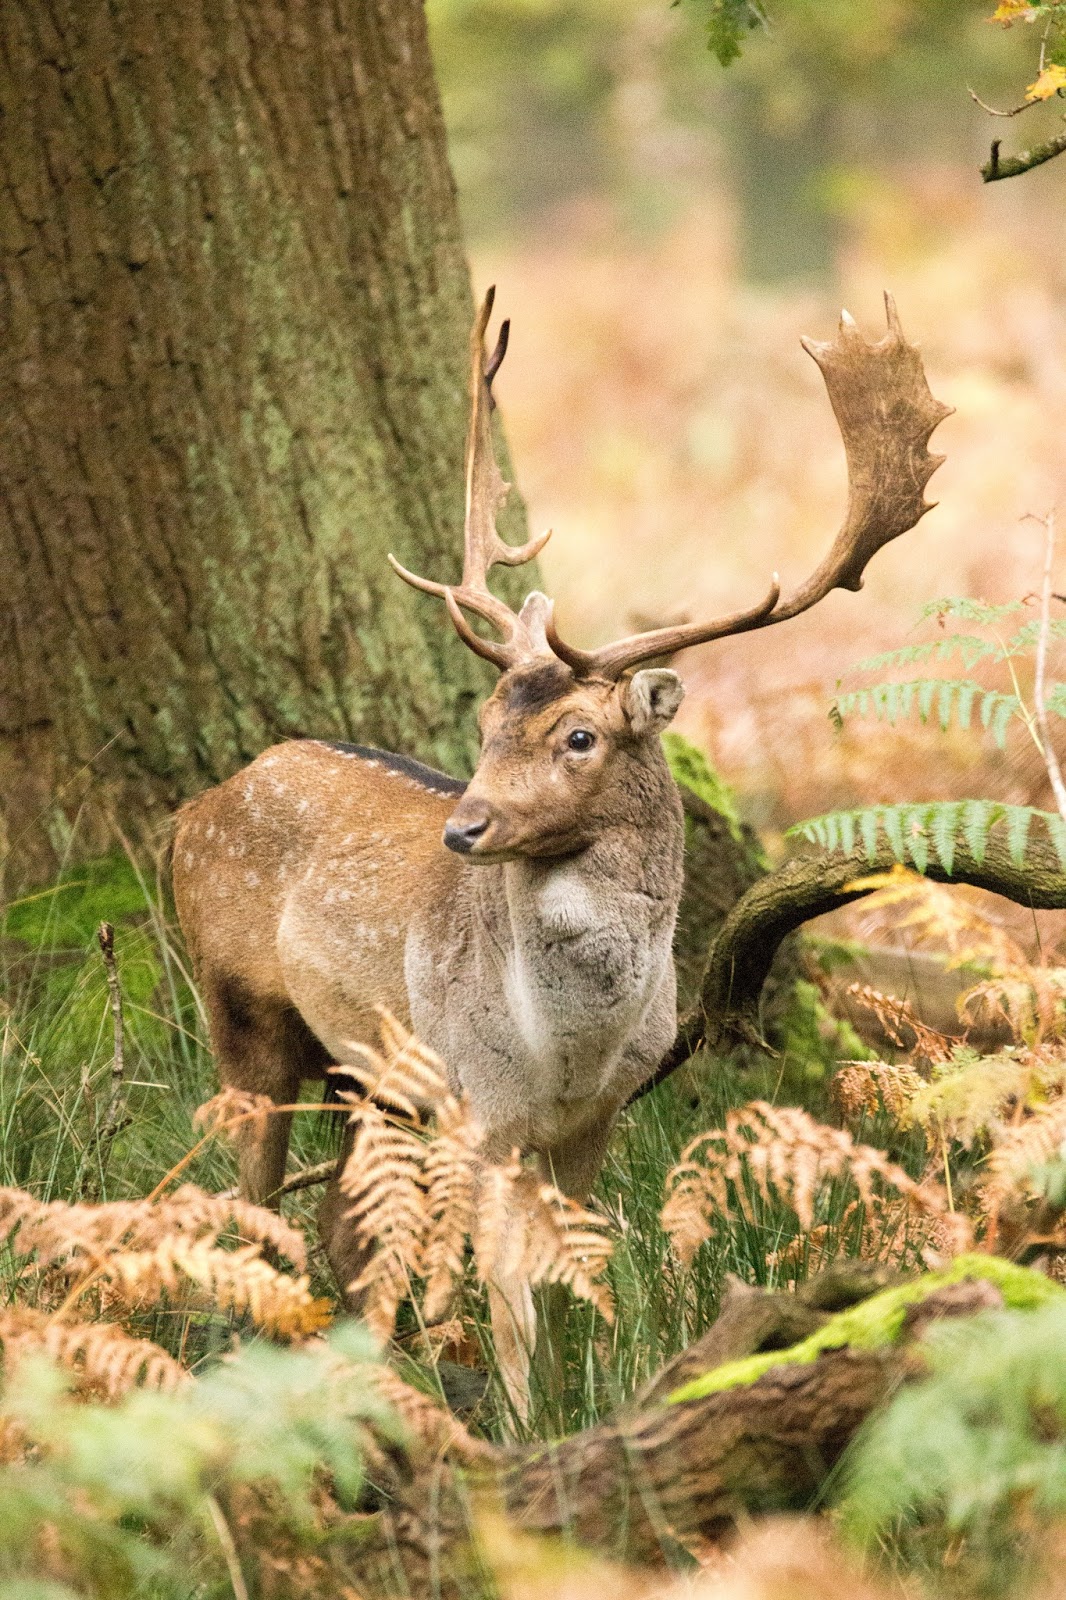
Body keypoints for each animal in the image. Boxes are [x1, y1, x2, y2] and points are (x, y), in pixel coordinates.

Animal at [172, 288, 951, 1420]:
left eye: (578, 736)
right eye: (488, 721)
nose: (465, 827)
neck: (567, 1044)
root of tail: (192, 810)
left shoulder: (596, 1117)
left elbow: (576, 1279)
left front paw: (592, 1393)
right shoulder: (481, 1105)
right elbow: (509, 1301)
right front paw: (526, 1424)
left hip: (369, 1074)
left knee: (343, 1233)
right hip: (243, 1012)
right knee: (252, 1204)